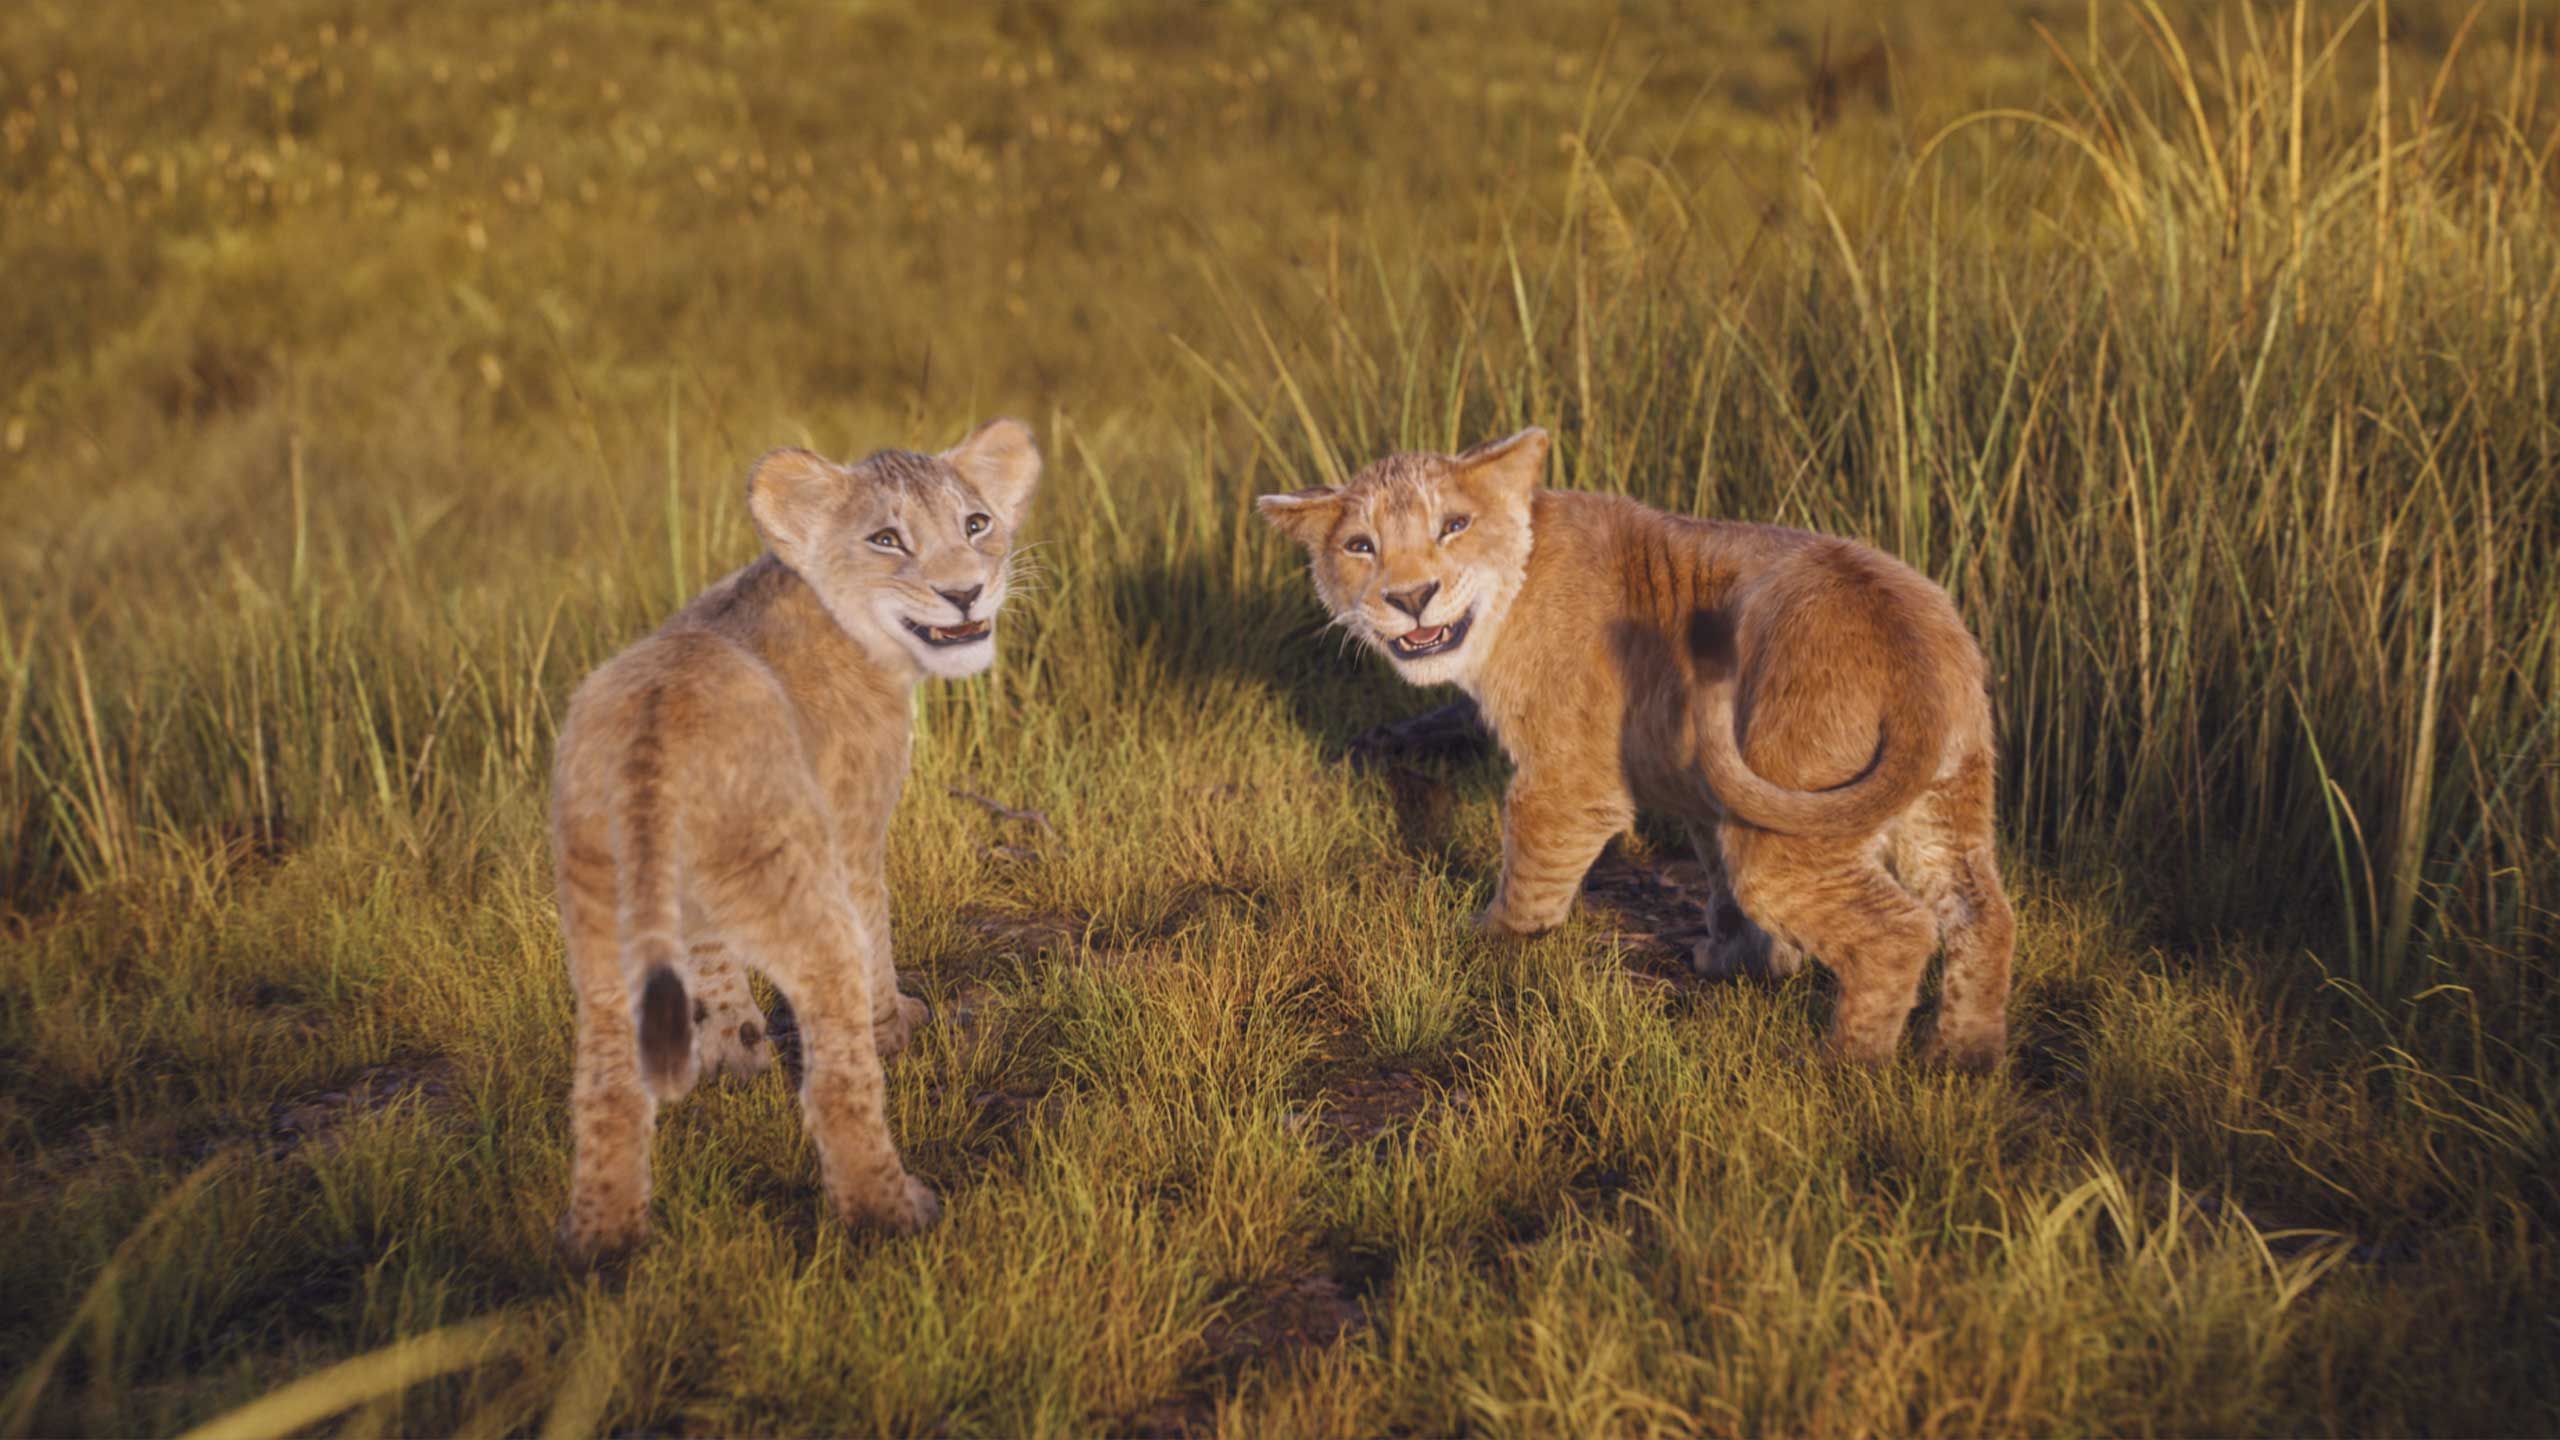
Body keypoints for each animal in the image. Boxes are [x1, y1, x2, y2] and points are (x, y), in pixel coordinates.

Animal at [550, 418, 1040, 1262]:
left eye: (977, 523)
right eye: (886, 539)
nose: (965, 593)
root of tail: (650, 734)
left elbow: (712, 963)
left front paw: (736, 1052)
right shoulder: (851, 826)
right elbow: (876, 929)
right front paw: (894, 1022)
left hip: (601, 927)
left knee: (607, 1086)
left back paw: (604, 1241)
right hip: (795, 896)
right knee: (835, 1076)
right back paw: (895, 1211)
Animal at [1259, 428, 2013, 1067]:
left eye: (1454, 525)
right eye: (1360, 546)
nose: (1413, 597)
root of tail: (1906, 633)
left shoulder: (1569, 783)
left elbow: (1530, 869)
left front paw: (1491, 942)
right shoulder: (1707, 789)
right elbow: (1719, 887)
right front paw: (1742, 962)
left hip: (1787, 825)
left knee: (1897, 931)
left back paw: (1846, 1067)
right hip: (1942, 801)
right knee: (1983, 915)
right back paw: (1964, 1058)